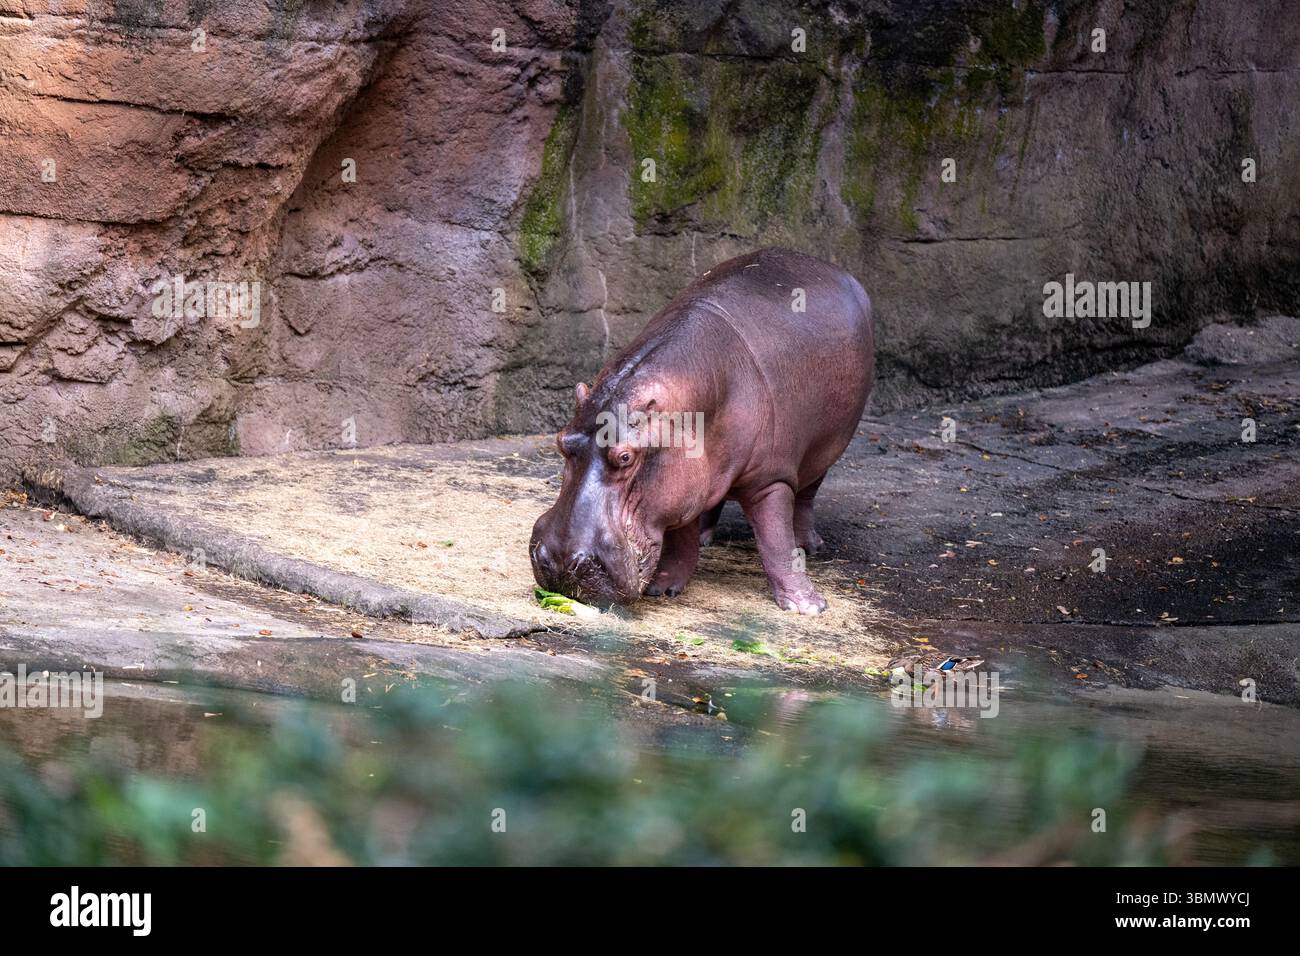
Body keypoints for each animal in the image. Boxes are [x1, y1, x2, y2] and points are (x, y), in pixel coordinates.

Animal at [530, 247, 874, 614]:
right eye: (561, 442)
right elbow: (681, 536)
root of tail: (834, 269)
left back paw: (809, 545)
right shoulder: (679, 482)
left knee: (807, 495)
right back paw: (707, 538)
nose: (562, 563)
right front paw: (664, 587)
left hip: (828, 445)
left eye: (625, 457)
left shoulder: (770, 480)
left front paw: (807, 606)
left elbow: (776, 541)